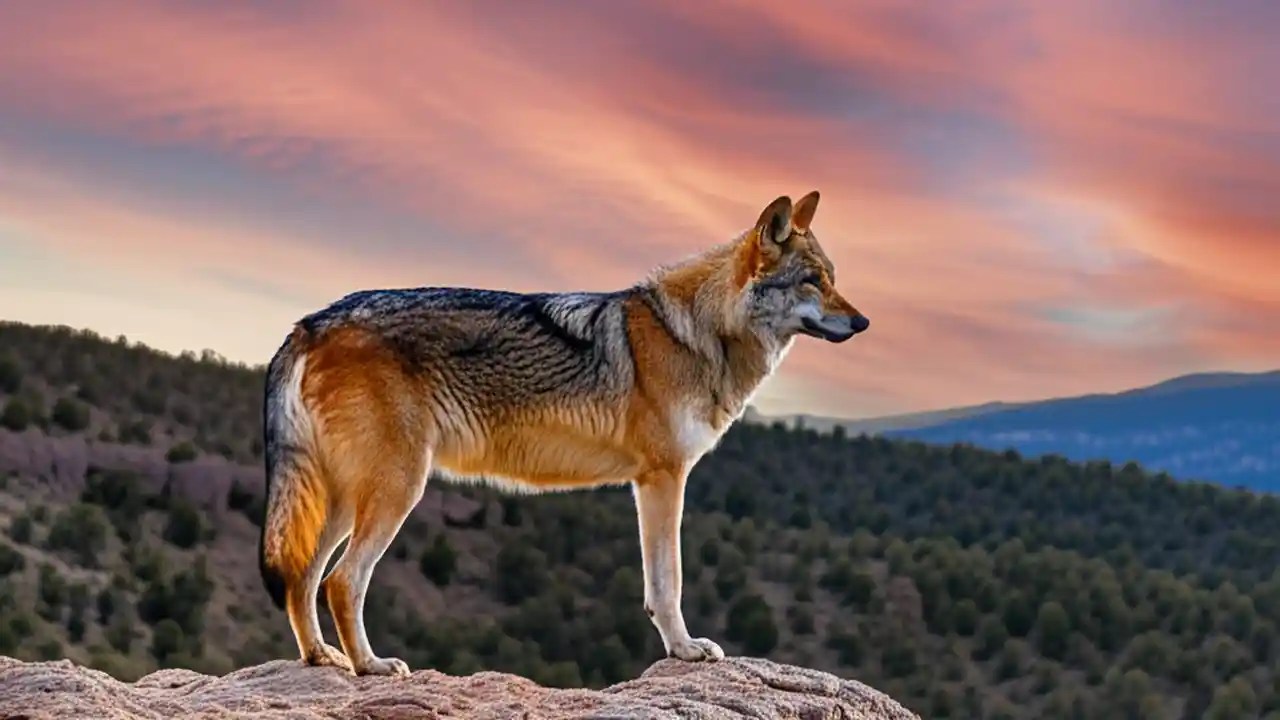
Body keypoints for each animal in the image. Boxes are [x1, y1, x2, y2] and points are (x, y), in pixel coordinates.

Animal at [258, 191, 870, 676]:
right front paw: (685, 650)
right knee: (341, 581)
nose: (863, 322)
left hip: (344, 497)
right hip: (396, 489)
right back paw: (370, 665)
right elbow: (667, 581)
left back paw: (322, 659)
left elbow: (659, 581)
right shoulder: (663, 478)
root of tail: (308, 322)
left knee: (302, 576)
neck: (700, 334)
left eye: (834, 281)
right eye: (813, 282)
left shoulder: (654, 481)